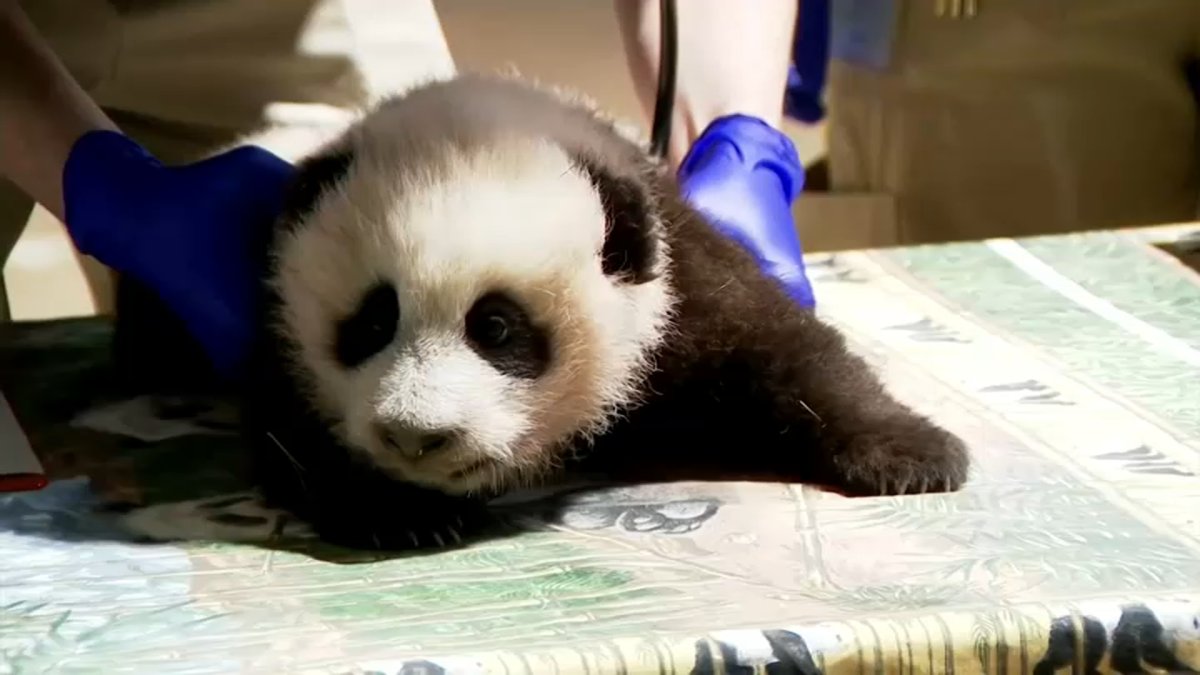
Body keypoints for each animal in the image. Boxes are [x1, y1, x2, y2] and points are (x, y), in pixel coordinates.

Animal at [112, 73, 970, 551]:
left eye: (496, 328)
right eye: (372, 321)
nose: (415, 437)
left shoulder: (673, 274)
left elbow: (785, 348)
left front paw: (915, 453)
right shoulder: (275, 310)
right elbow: (294, 421)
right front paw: (396, 508)